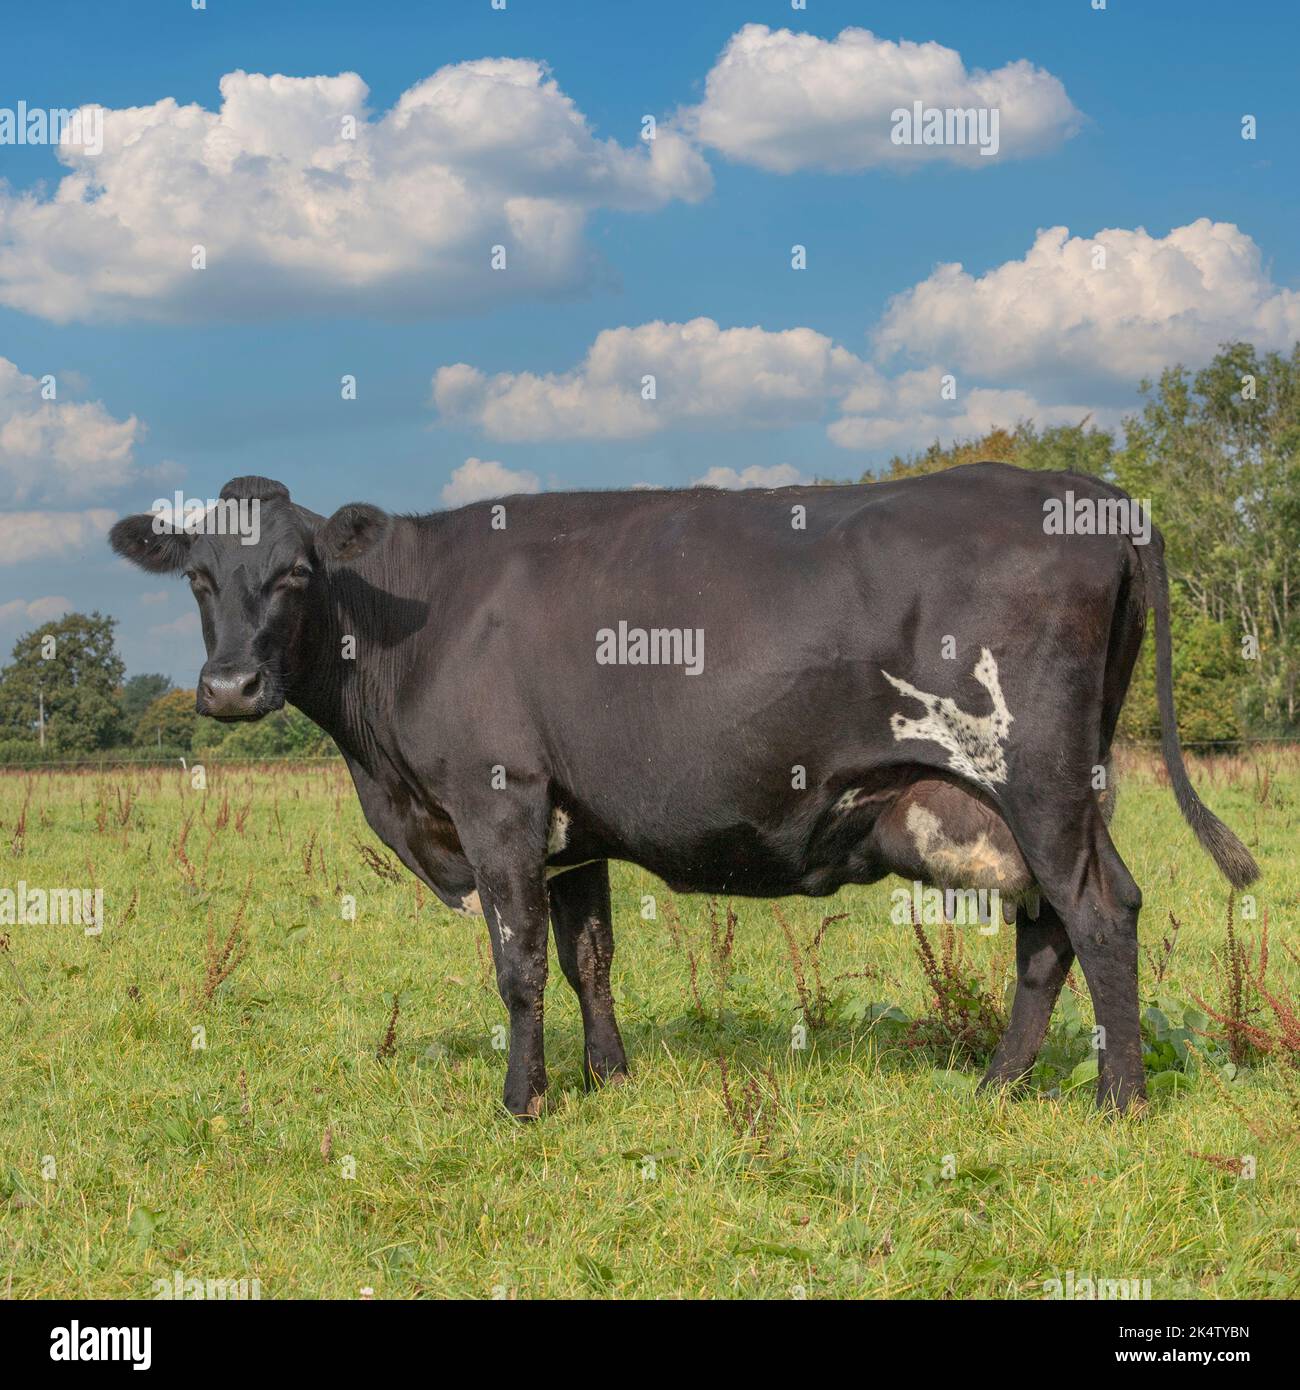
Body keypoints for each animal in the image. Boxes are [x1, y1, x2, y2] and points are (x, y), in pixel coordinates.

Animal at [109, 463, 1258, 1118]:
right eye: (199, 578)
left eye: (294, 574)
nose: (227, 686)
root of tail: (1087, 488)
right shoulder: (568, 827)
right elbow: (587, 959)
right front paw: (607, 1079)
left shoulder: (497, 799)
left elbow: (519, 967)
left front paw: (522, 1102)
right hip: (1043, 791)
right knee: (1049, 925)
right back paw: (999, 1086)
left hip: (1038, 774)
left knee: (1098, 913)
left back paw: (1117, 1104)